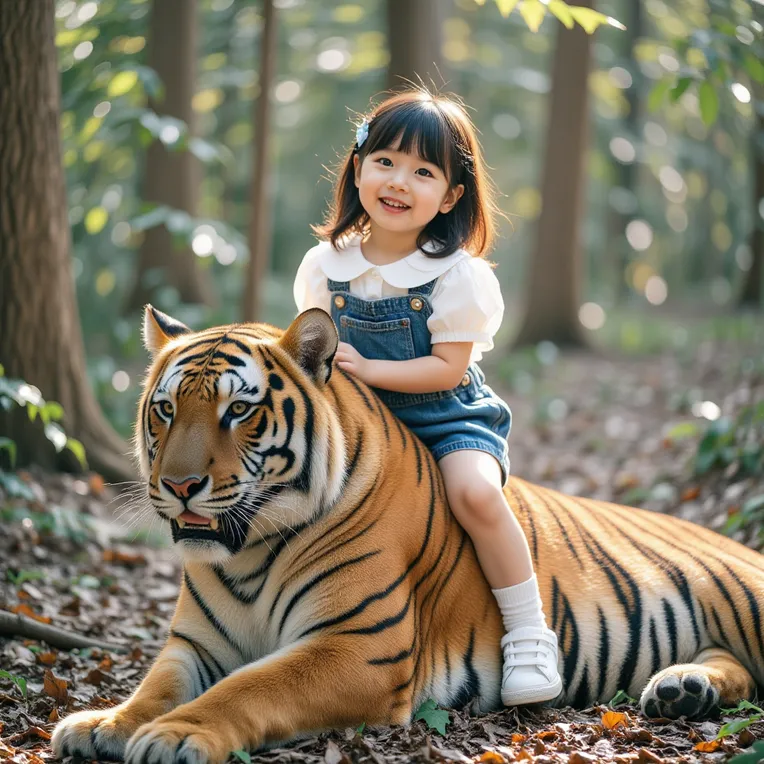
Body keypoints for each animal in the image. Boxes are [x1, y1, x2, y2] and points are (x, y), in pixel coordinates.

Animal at [52, 306, 764, 764]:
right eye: (166, 410)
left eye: (240, 410)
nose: (178, 485)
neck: (249, 553)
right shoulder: (195, 643)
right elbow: (153, 687)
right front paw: (103, 724)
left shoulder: (357, 648)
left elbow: (249, 687)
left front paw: (175, 736)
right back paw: (681, 690)